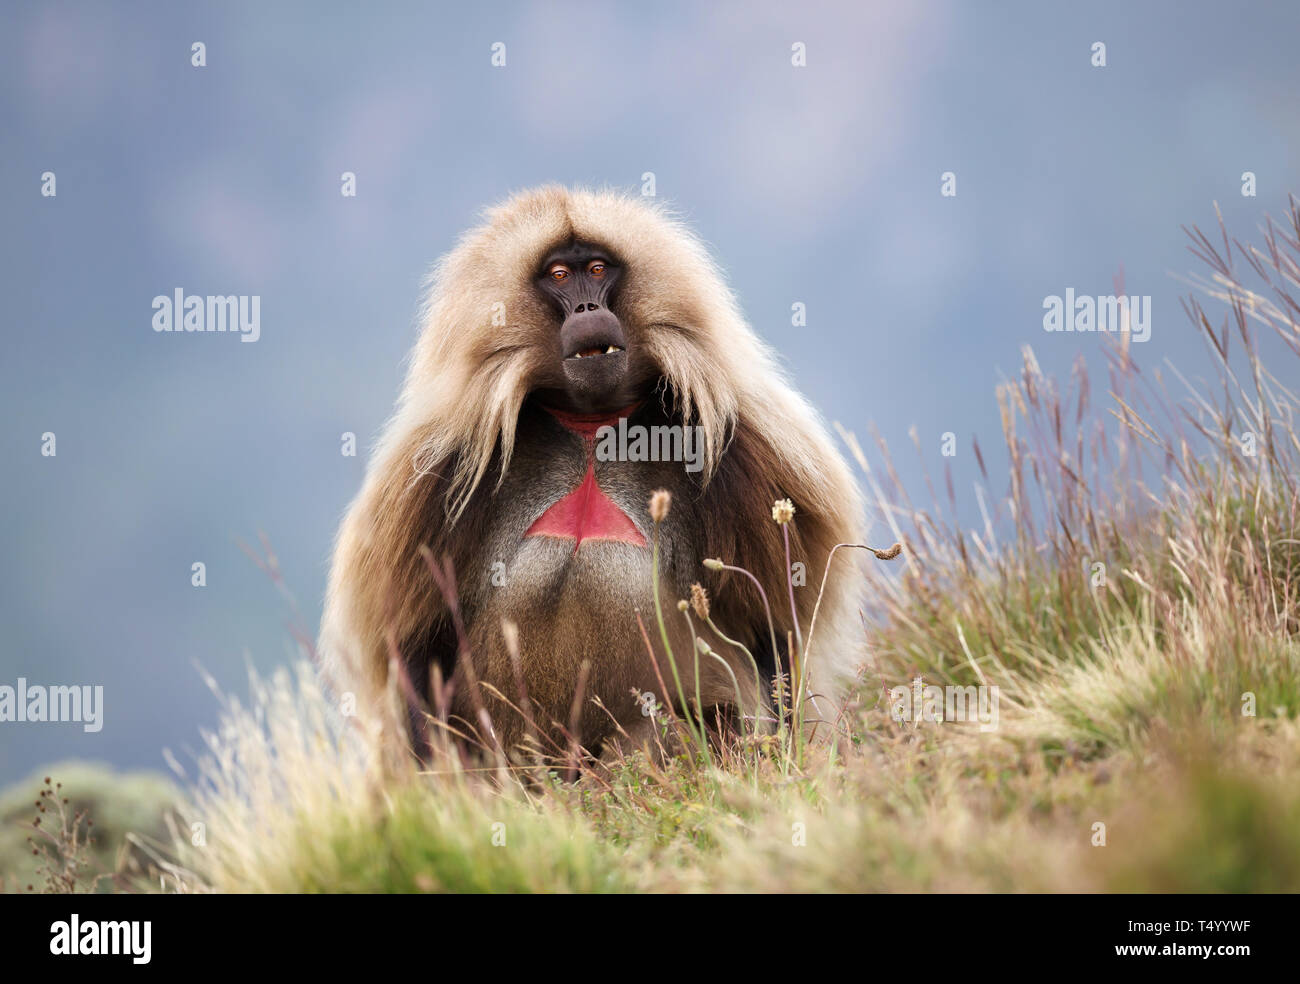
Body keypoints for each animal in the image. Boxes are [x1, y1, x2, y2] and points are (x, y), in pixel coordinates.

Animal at [320, 186, 864, 765]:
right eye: (560, 276)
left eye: (598, 269)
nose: (588, 309)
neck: (591, 425)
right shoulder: (437, 468)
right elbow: (416, 640)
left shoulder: (746, 449)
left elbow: (768, 629)